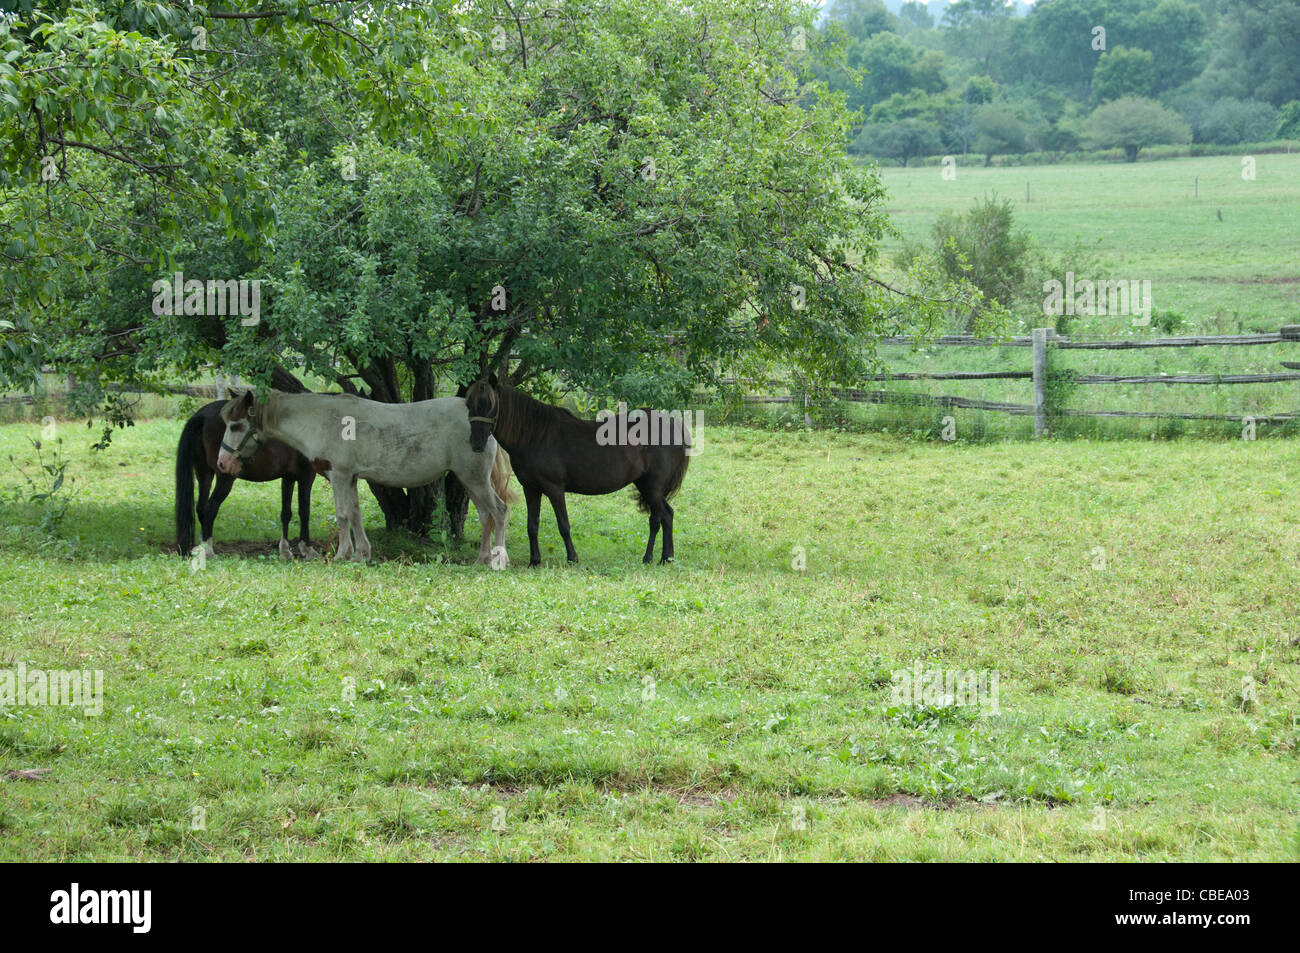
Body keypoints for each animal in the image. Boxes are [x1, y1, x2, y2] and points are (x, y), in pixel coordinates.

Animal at [175, 400, 319, 560]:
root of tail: (202, 415)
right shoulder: (307, 476)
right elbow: (304, 511)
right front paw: (307, 549)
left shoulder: (288, 478)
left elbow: (286, 513)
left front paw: (285, 551)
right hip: (225, 477)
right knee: (209, 508)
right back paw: (208, 551)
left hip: (204, 473)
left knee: (201, 508)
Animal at [216, 388, 515, 564]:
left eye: (236, 425)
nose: (222, 463)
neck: (320, 420)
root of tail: (483, 424)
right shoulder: (351, 477)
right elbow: (356, 513)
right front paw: (362, 553)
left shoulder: (338, 475)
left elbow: (342, 515)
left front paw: (342, 554)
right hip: (470, 480)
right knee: (486, 515)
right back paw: (482, 558)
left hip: (474, 478)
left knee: (499, 511)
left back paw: (499, 560)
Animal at [463, 374, 690, 566]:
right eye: (469, 405)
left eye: (488, 404)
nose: (476, 443)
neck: (535, 436)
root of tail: (672, 425)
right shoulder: (531, 489)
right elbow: (532, 525)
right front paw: (534, 561)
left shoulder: (554, 488)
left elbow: (563, 525)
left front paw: (572, 558)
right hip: (645, 485)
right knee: (668, 515)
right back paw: (666, 558)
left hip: (653, 485)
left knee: (656, 520)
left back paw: (648, 557)